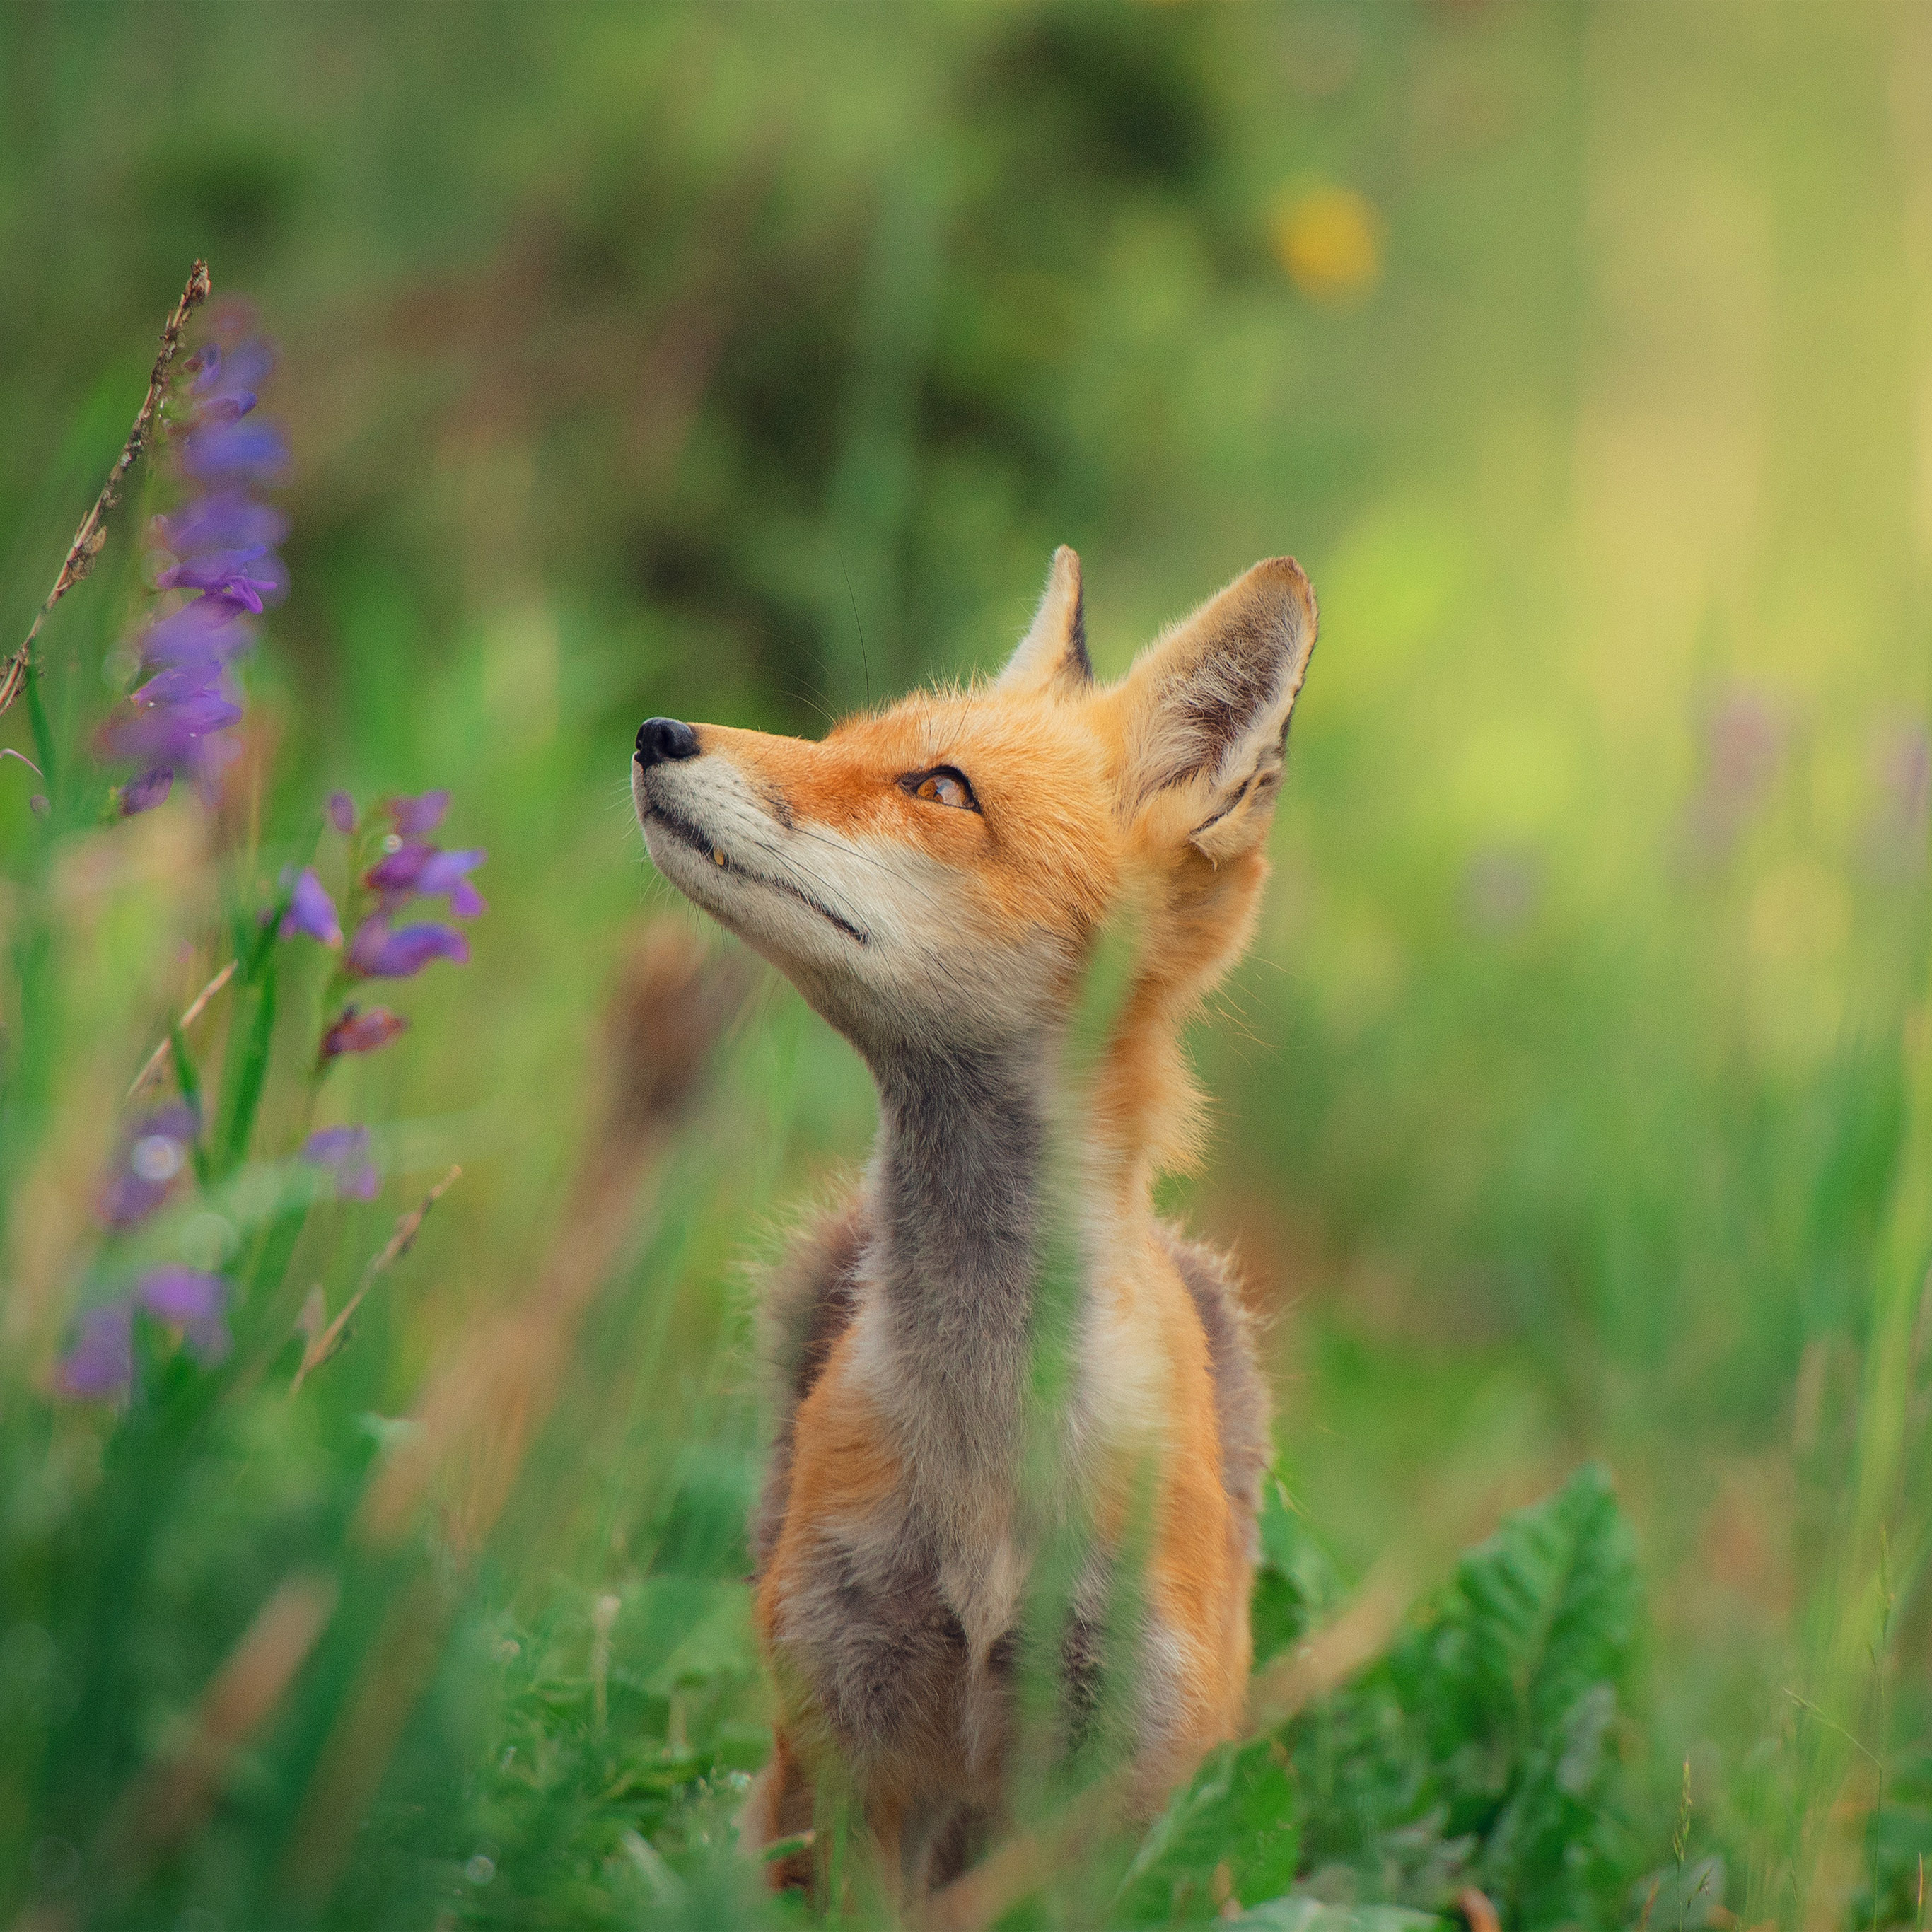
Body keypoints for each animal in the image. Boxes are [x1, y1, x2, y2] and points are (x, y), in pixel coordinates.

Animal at [630, 548, 1318, 1900]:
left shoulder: (1112, 1792)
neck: (990, 1453)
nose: (657, 732)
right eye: (840, 739)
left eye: (939, 788)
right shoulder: (849, 1752)